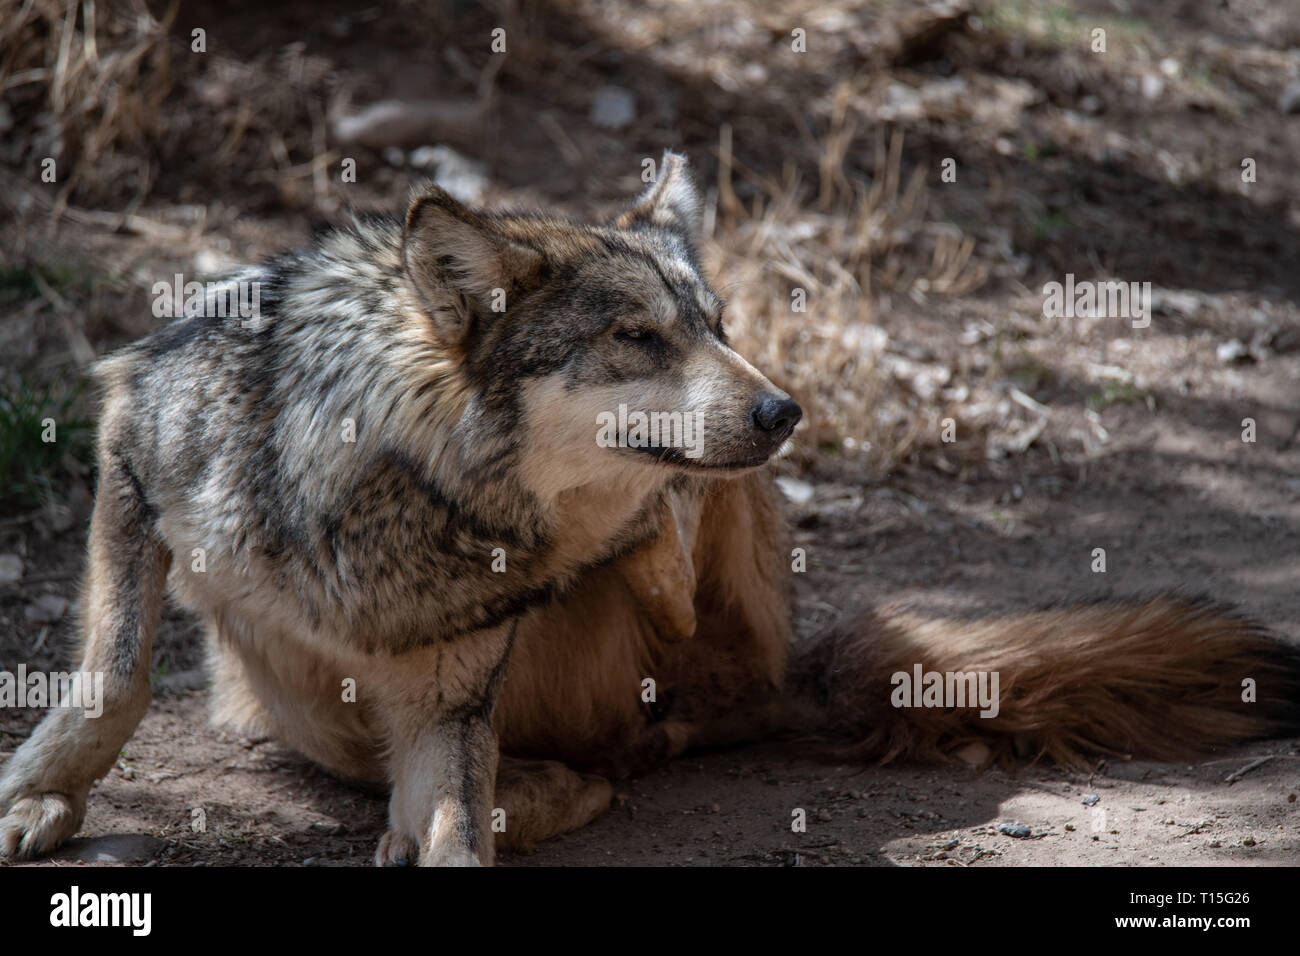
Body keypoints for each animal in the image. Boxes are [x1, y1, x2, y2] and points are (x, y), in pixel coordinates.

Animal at [2, 152, 1299, 866]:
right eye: (637, 336)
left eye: (716, 324)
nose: (784, 408)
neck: (395, 494)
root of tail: (786, 670)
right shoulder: (131, 444)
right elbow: (111, 678)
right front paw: (37, 794)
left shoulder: (447, 703)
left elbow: (455, 830)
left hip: (693, 595)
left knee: (652, 610)